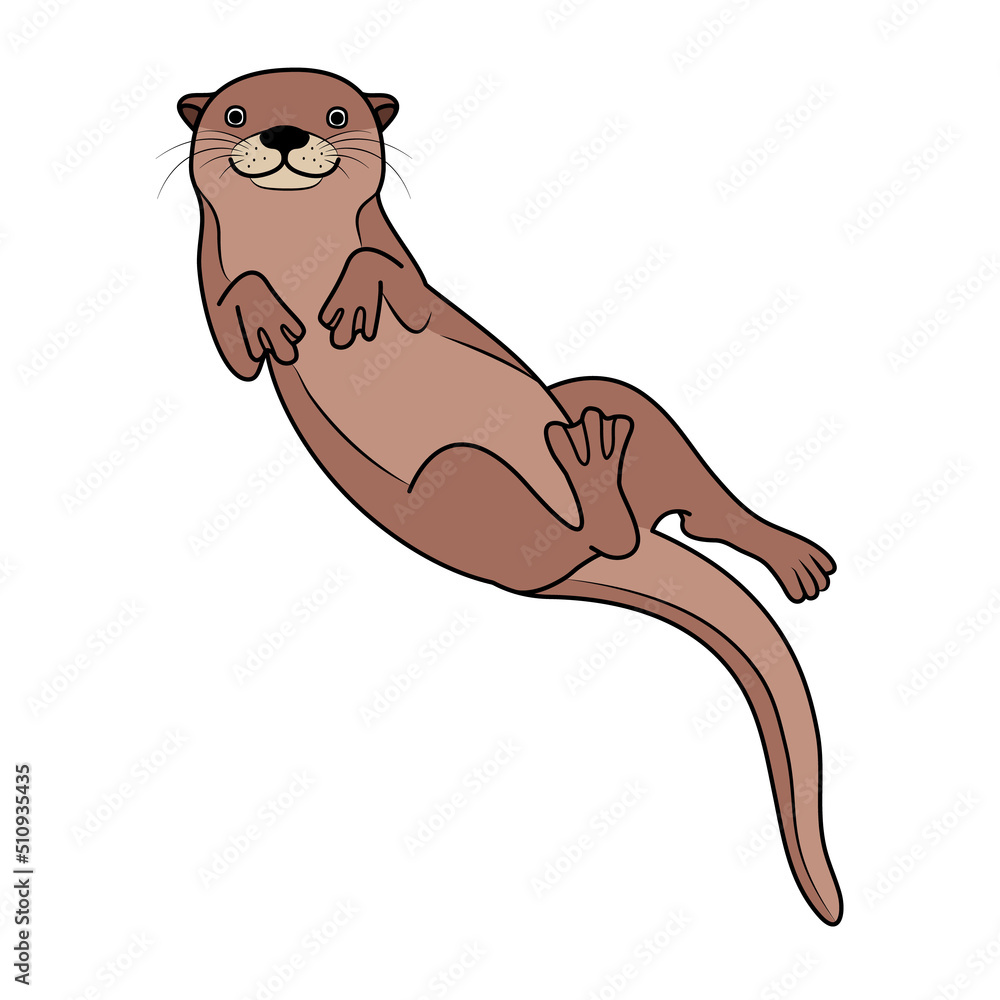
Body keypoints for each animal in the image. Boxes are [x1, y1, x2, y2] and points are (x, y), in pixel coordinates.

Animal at [177, 67, 843, 924]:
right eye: (234, 113)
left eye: (335, 112)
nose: (285, 134)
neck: (298, 247)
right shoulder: (213, 281)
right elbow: (236, 336)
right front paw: (265, 309)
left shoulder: (404, 268)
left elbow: (401, 285)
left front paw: (355, 296)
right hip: (459, 485)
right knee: (610, 529)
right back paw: (598, 475)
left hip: (594, 403)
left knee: (679, 494)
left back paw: (768, 545)